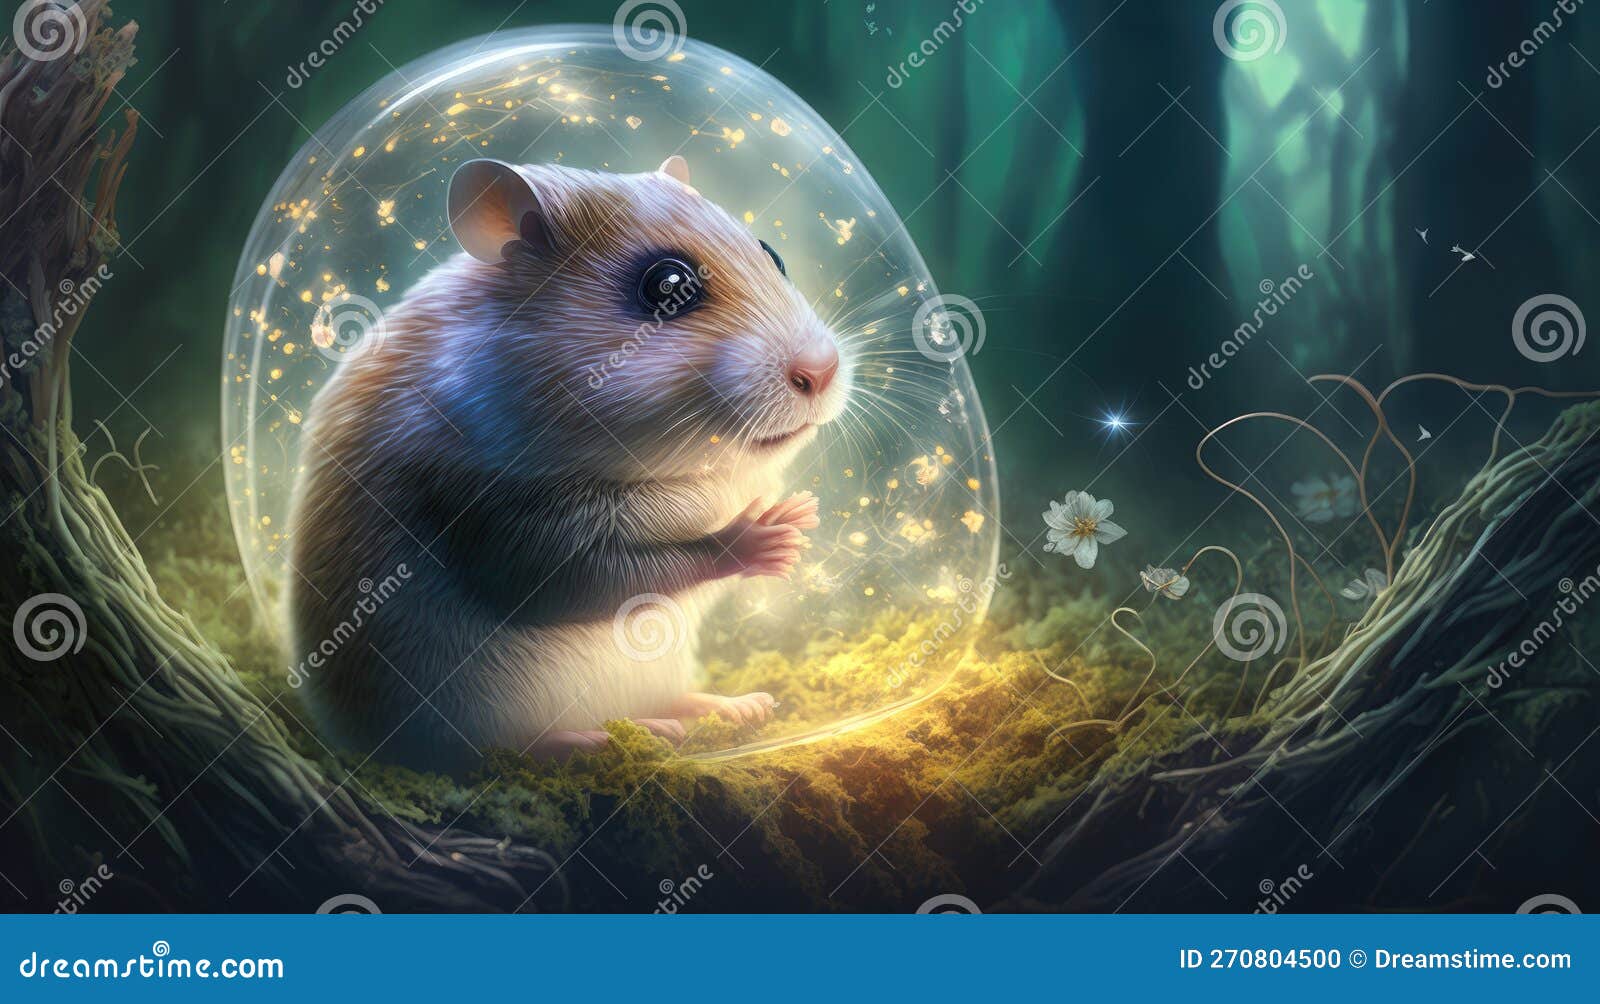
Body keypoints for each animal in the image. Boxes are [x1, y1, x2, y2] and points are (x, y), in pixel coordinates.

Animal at [287, 155, 850, 772]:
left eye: (772, 253)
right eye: (668, 285)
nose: (822, 371)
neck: (680, 474)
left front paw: (797, 521)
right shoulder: (493, 515)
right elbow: (605, 578)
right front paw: (763, 536)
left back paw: (728, 707)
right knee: (492, 751)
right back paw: (591, 739)